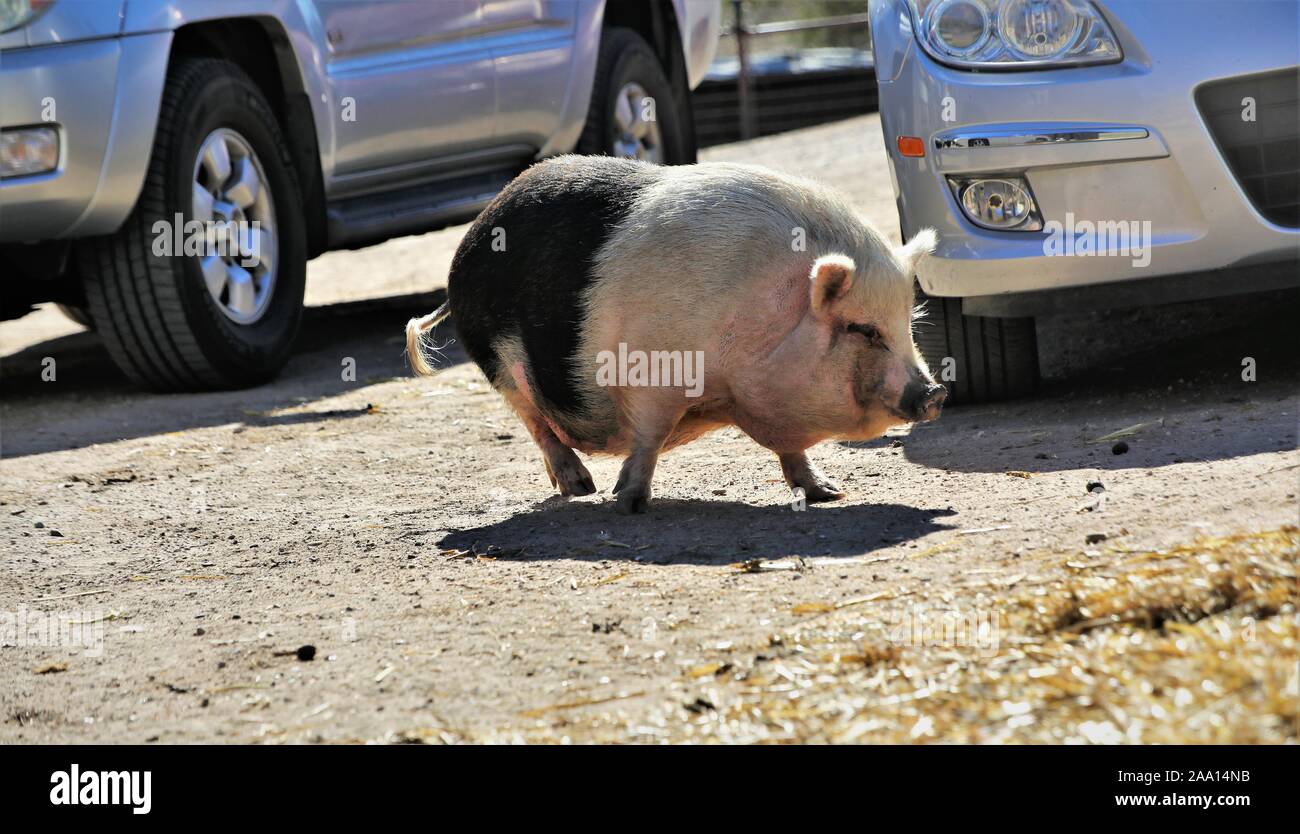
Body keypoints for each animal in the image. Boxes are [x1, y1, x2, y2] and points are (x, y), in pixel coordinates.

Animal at [406, 156, 946, 514]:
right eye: (861, 328)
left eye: (906, 325)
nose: (935, 393)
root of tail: (469, 243)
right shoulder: (651, 375)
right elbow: (650, 436)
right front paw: (629, 502)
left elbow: (791, 449)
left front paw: (829, 494)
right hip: (498, 363)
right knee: (535, 422)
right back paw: (583, 488)